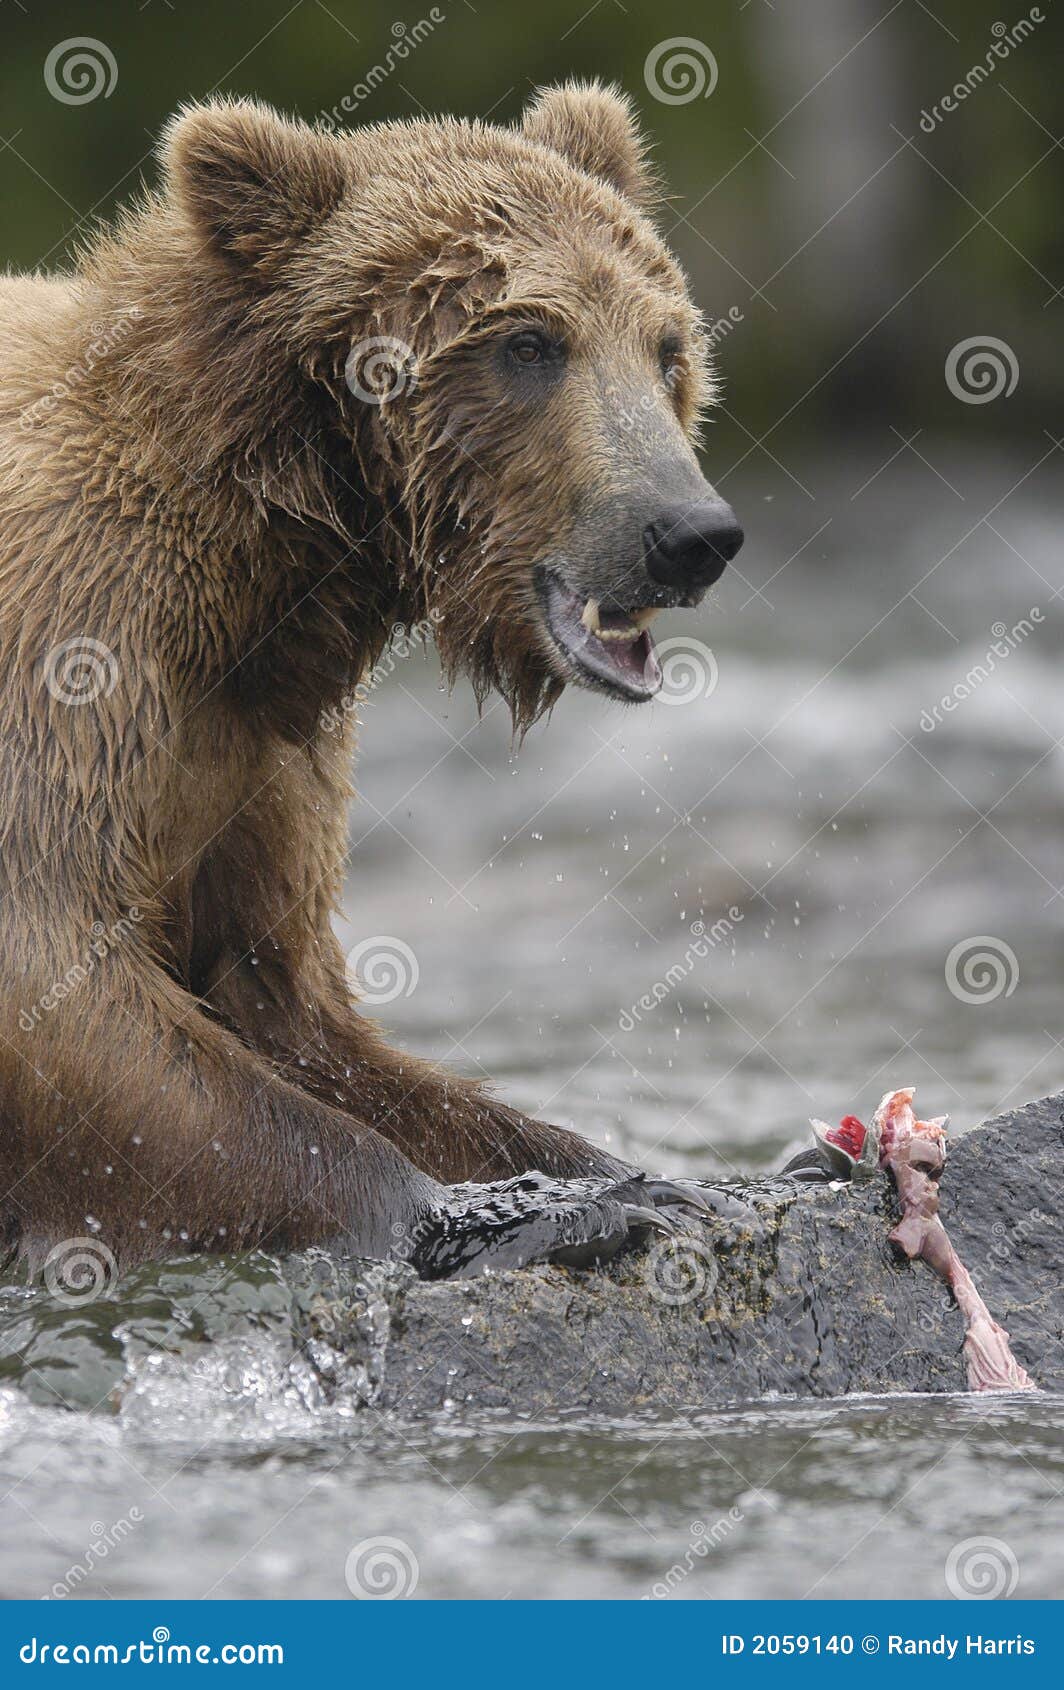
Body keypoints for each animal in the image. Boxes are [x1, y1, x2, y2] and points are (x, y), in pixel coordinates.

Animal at [0, 83, 743, 1278]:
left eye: (666, 344)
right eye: (529, 341)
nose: (688, 533)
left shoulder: (256, 741)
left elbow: (290, 1004)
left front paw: (637, 1174)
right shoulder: (73, 640)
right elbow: (58, 975)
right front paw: (521, 1212)